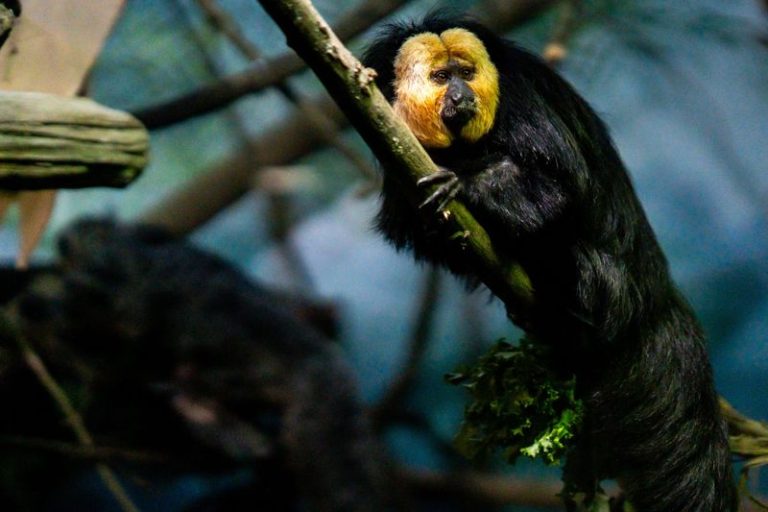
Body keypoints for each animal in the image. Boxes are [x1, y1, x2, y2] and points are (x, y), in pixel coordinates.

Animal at [363, 13, 735, 512]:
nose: (461, 96)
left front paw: (465, 186)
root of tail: (653, 297)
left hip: (607, 286)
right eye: (442, 78)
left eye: (466, 73)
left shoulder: (524, 108)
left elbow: (557, 189)